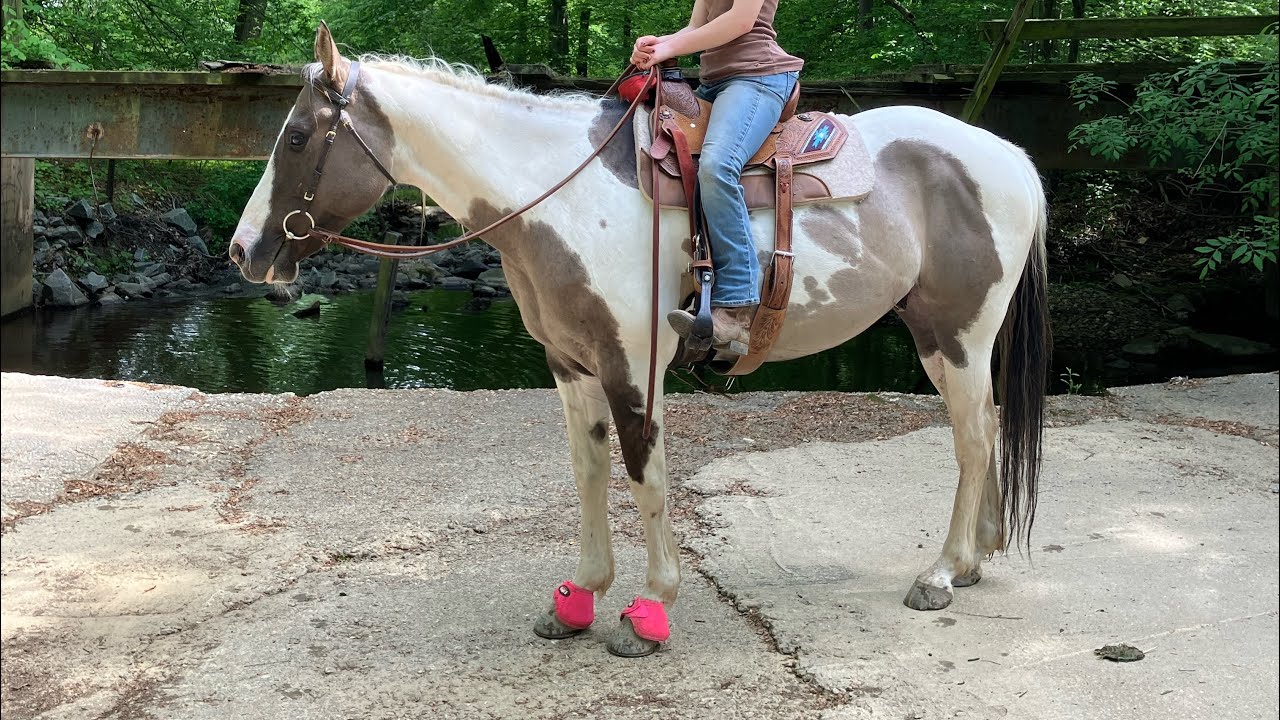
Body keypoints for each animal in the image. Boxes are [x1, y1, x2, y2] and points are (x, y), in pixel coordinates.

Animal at [228, 23, 1051, 658]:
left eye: (295, 137)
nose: (242, 251)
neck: (558, 195)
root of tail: (1009, 156)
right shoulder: (569, 365)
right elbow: (588, 471)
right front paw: (579, 599)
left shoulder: (634, 363)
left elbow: (643, 476)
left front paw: (651, 610)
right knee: (986, 429)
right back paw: (974, 560)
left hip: (955, 335)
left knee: (973, 438)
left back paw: (941, 573)